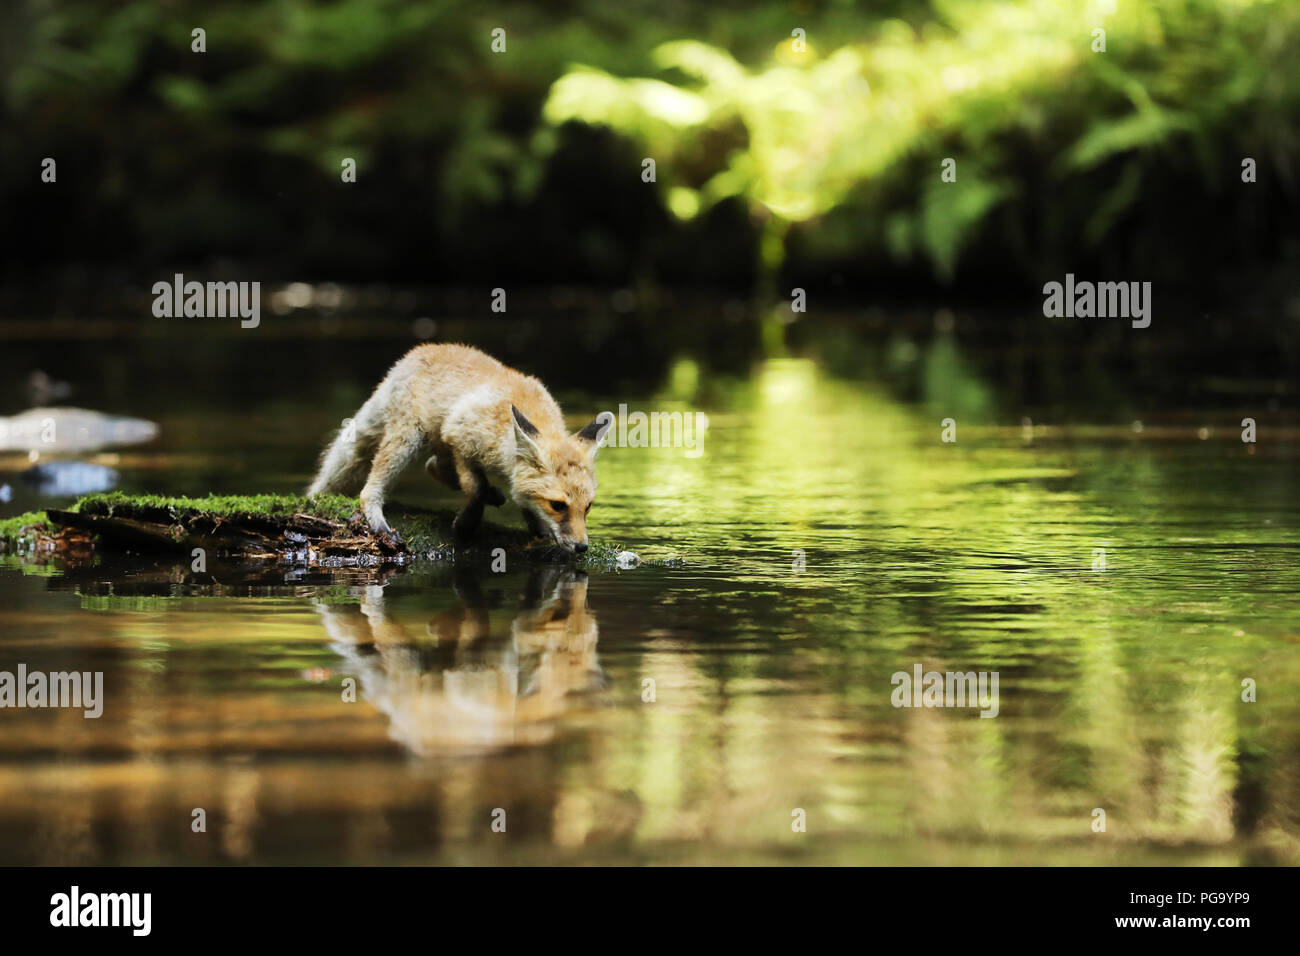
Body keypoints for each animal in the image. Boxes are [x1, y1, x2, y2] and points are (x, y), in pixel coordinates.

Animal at [308, 343, 612, 554]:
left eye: (588, 507)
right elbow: (474, 488)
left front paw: (536, 526)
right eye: (558, 505)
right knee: (369, 489)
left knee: (433, 467)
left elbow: (517, 497)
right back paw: (378, 521)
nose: (582, 547)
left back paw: (493, 494)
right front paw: (466, 524)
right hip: (408, 439)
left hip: (431, 444)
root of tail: (414, 354)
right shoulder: (459, 438)